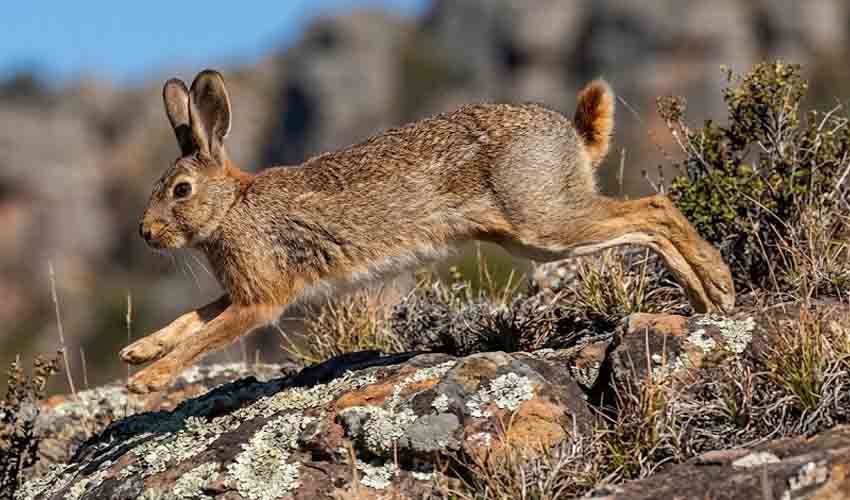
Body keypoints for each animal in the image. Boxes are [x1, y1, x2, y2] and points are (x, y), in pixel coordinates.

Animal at [123, 69, 734, 393]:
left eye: (180, 191)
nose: (146, 233)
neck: (232, 206)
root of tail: (571, 136)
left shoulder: (260, 298)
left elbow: (206, 335)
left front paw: (147, 381)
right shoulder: (240, 289)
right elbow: (191, 320)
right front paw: (138, 352)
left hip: (544, 223)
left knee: (654, 210)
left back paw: (717, 285)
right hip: (533, 232)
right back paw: (706, 297)